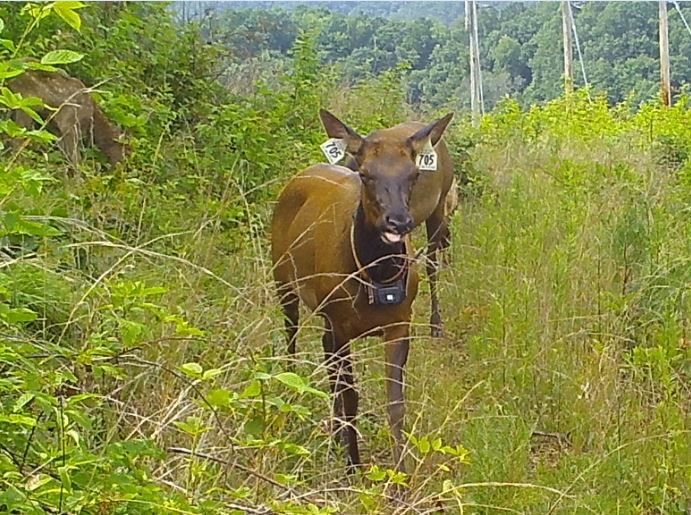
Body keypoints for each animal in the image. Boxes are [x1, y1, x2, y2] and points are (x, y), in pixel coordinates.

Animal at [271, 109, 453, 472]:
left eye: (413, 174)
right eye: (366, 174)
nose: (398, 221)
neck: (376, 278)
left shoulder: (398, 323)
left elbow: (395, 403)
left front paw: (400, 474)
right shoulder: (341, 324)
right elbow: (351, 397)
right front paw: (352, 465)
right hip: (283, 280)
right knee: (291, 336)